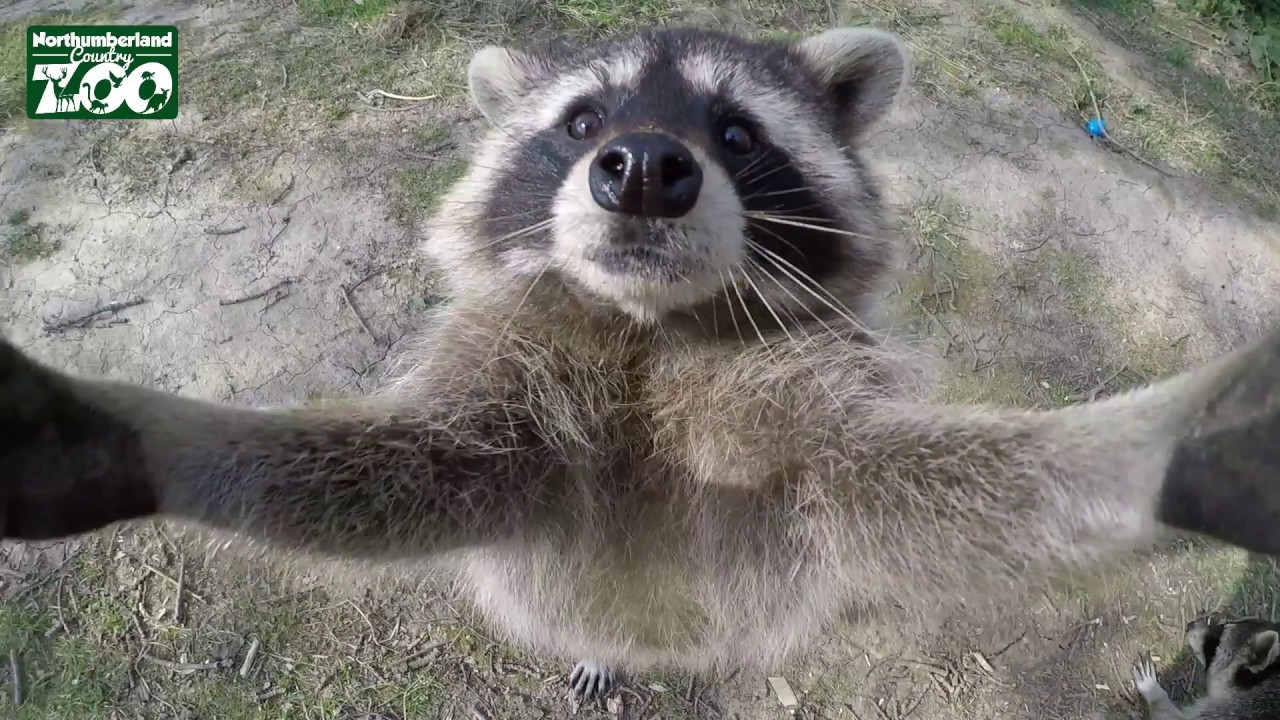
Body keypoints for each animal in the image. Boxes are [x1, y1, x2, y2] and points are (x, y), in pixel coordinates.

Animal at [3, 24, 1280, 703]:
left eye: (736, 133)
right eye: (578, 123)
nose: (645, 169)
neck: (649, 329)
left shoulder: (794, 392)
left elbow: (900, 479)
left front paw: (1162, 454)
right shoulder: (510, 373)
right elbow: (411, 472)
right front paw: (148, 436)